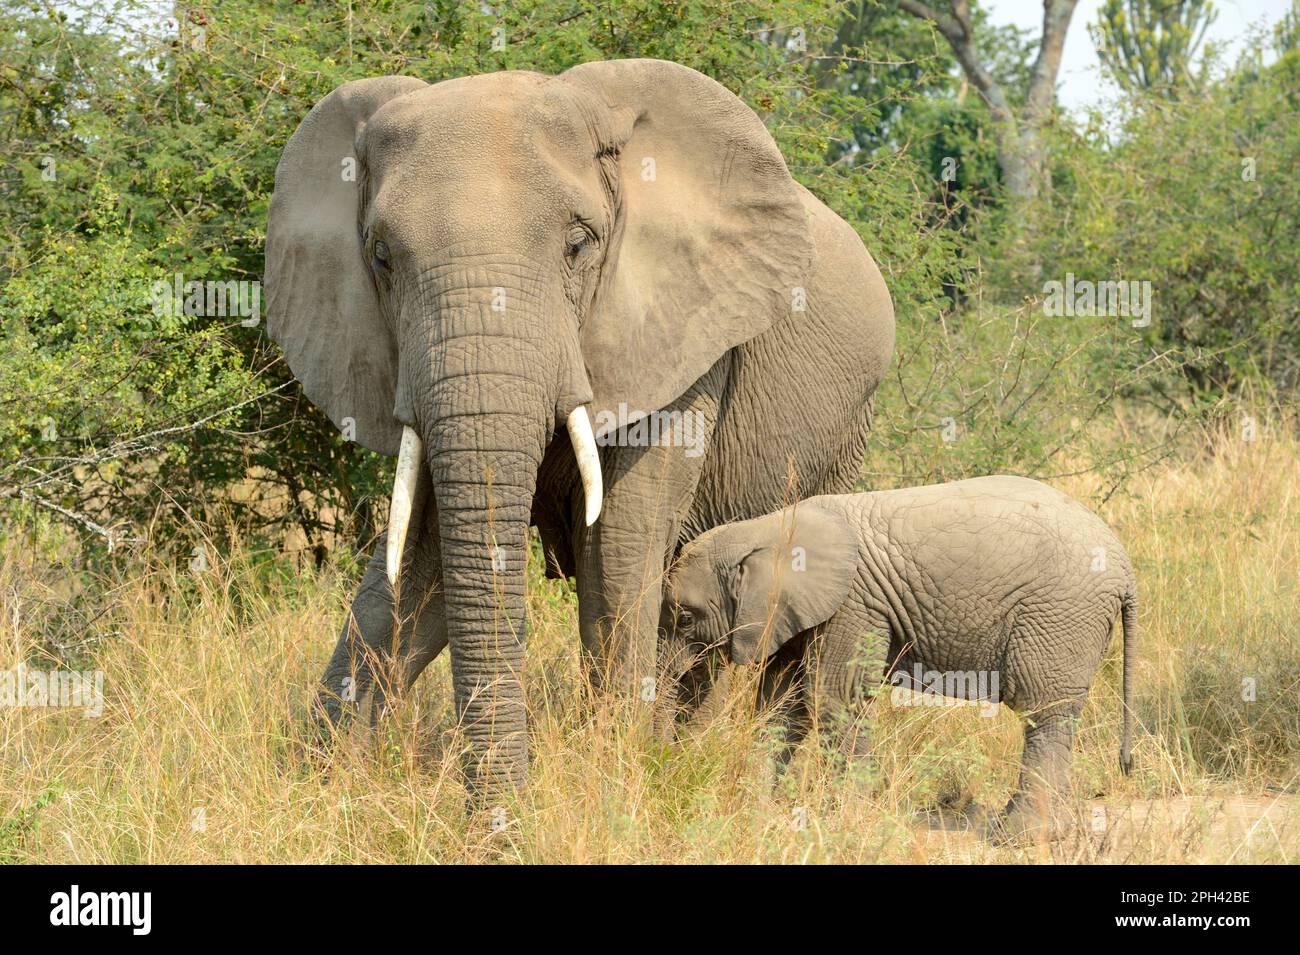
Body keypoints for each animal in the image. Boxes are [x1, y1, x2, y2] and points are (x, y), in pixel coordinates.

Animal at [264, 59, 895, 797]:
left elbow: (620, 541)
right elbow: (425, 559)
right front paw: (320, 783)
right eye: (382, 257)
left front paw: (622, 773)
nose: (502, 809)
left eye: (578, 245)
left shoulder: (686, 339)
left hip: (848, 431)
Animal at [658, 476, 1137, 840]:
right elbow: (781, 702)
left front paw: (846, 819)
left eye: (685, 617)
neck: (768, 529)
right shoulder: (801, 612)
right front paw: (753, 808)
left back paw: (1018, 837)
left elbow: (835, 697)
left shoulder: (852, 605)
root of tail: (1125, 566)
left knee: (1043, 712)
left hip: (1060, 615)